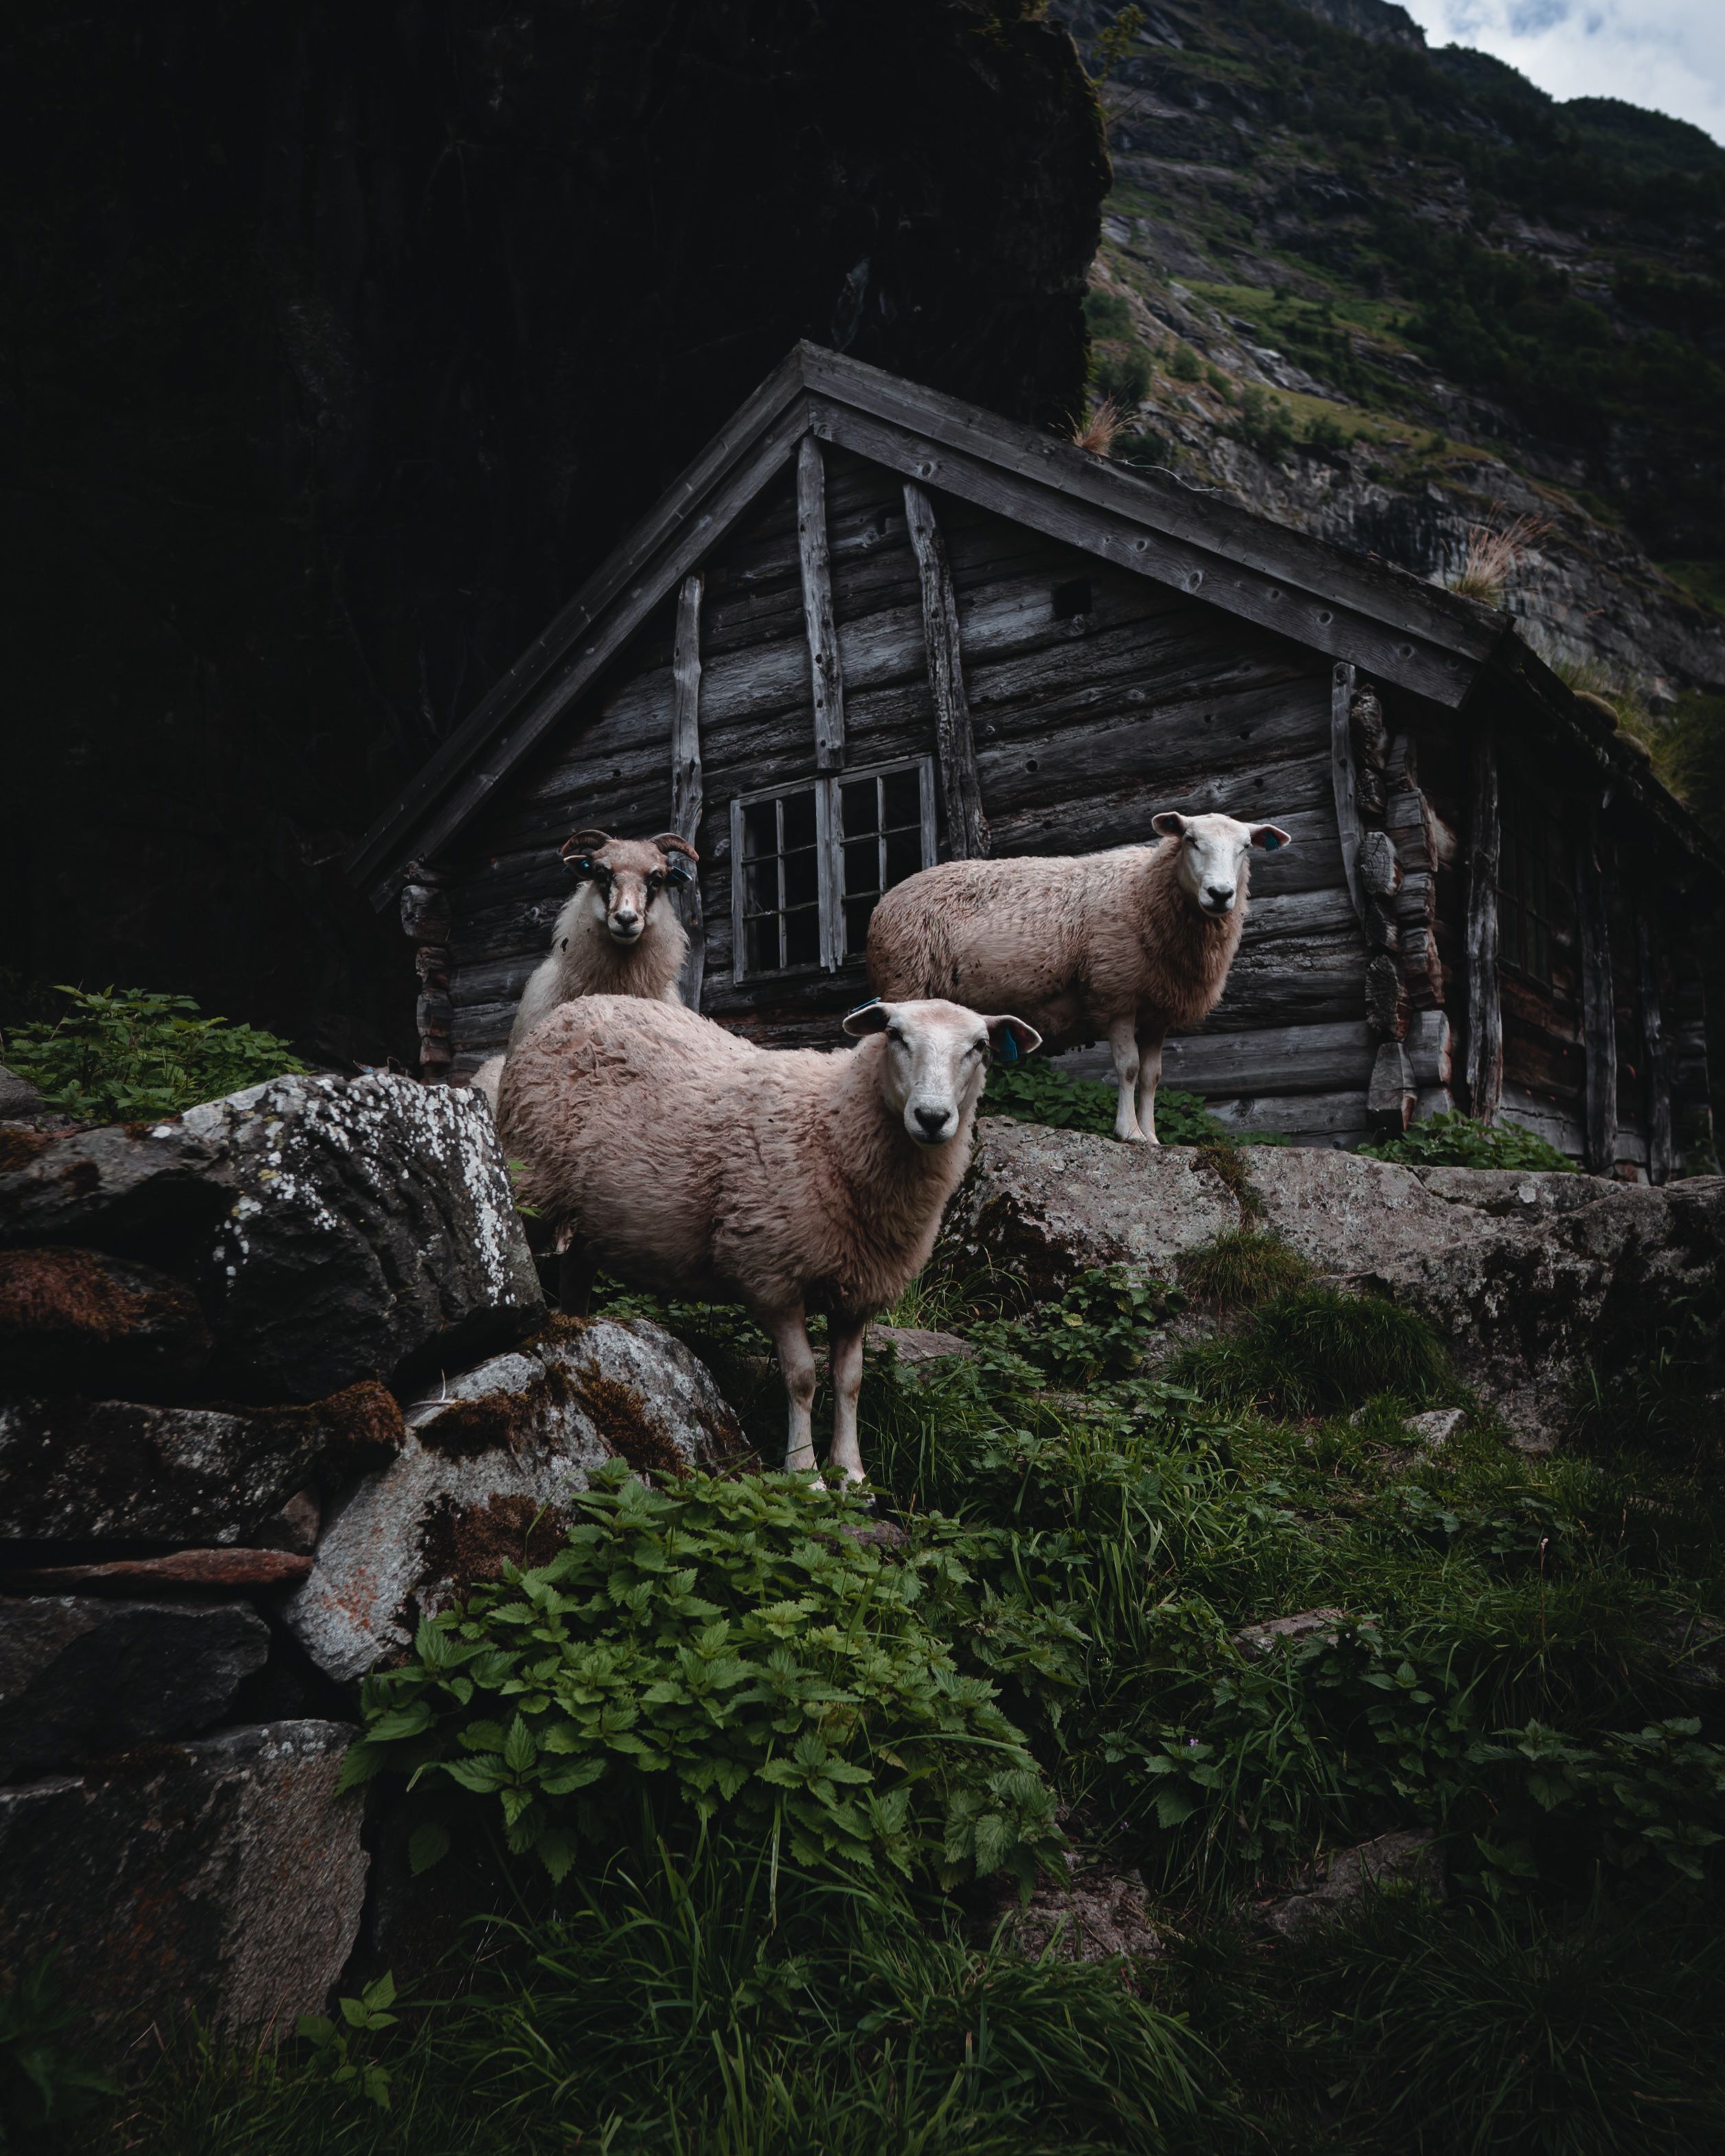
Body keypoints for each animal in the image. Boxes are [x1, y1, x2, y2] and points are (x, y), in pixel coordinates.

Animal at [498, 993, 1040, 1483]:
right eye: (894, 1035)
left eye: (980, 1046)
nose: (931, 1118)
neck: (830, 1120)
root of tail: (578, 1005)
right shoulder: (771, 1274)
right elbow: (802, 1378)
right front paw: (805, 1474)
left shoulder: (859, 1288)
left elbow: (849, 1381)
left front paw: (852, 1473)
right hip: (529, 1181)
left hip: (590, 1214)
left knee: (576, 1269)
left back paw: (575, 1335)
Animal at [866, 810, 1291, 1145]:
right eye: (1190, 840)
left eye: (1246, 847)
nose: (1220, 894)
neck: (1146, 888)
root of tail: (888, 899)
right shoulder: (1116, 990)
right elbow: (1129, 1067)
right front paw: (1129, 1133)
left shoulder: (1159, 1009)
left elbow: (1152, 1076)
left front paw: (1153, 1136)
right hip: (905, 980)